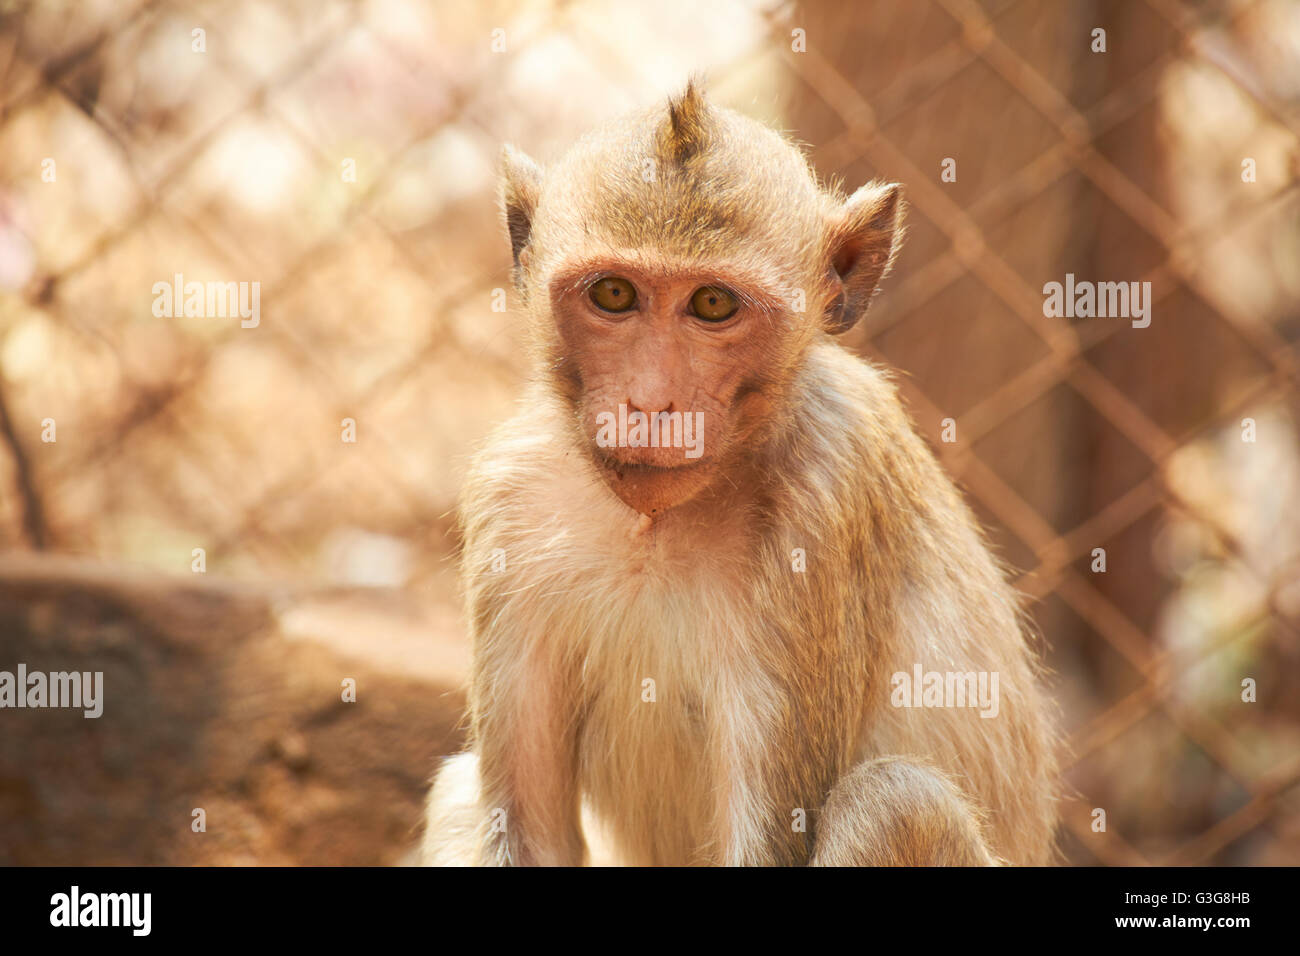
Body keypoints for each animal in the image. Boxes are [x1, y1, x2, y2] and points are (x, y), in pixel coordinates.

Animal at [420, 80, 1058, 867]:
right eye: (613, 295)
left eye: (713, 304)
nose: (652, 404)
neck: (654, 526)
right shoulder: (511, 496)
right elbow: (521, 825)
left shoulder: (825, 499)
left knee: (892, 802)